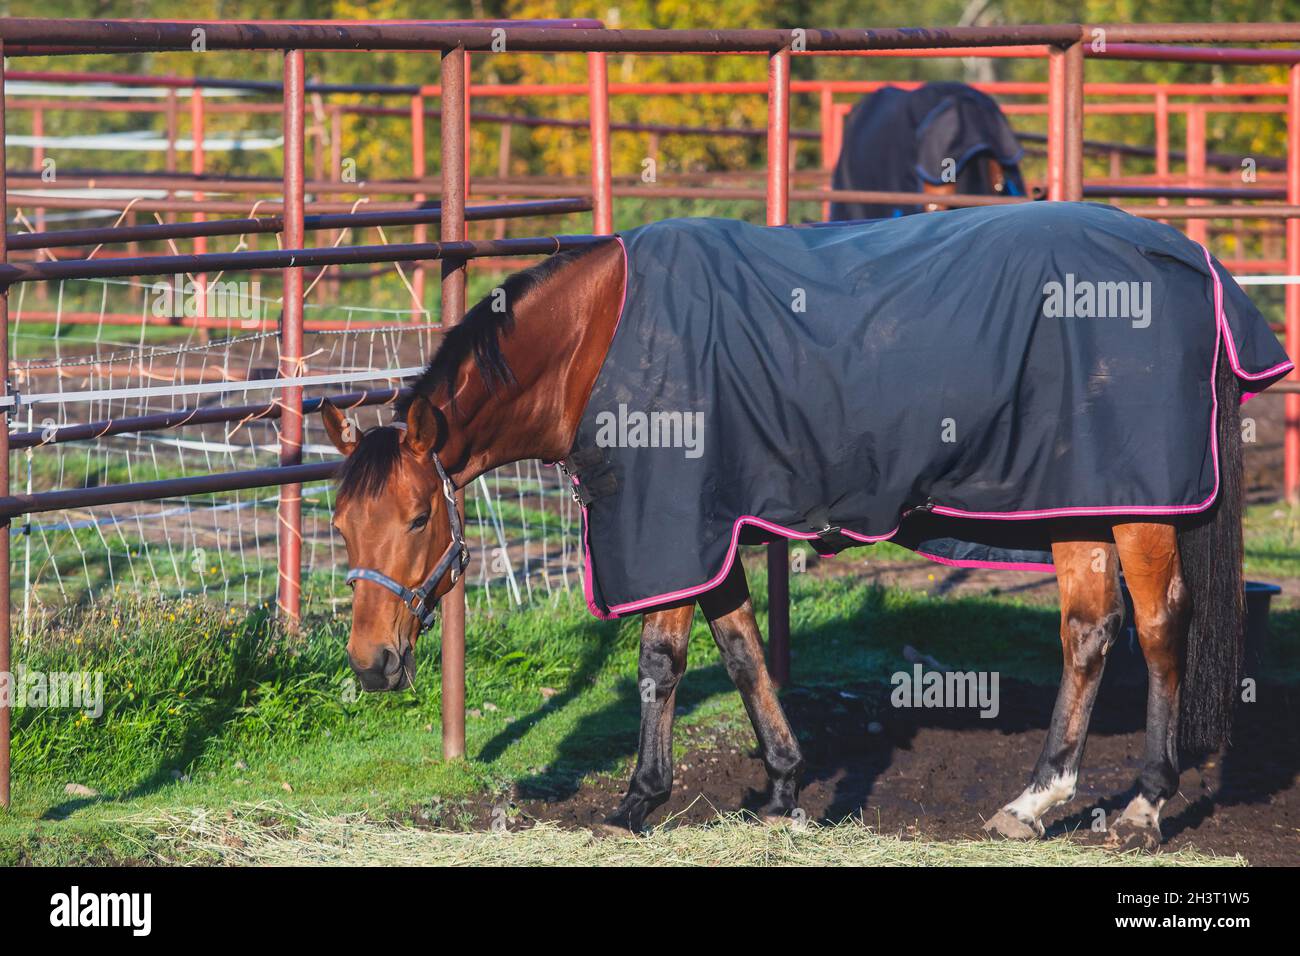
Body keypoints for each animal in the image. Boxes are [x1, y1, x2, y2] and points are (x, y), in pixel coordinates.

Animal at [324, 202, 1290, 850]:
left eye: (418, 516)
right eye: (338, 525)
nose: (371, 665)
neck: (595, 342)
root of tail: (1191, 258)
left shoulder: (669, 521)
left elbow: (661, 664)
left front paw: (638, 800)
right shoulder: (710, 528)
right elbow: (744, 651)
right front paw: (784, 790)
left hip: (1135, 508)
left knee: (1159, 628)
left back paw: (1145, 805)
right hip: (1077, 498)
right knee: (1089, 632)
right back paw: (1033, 803)